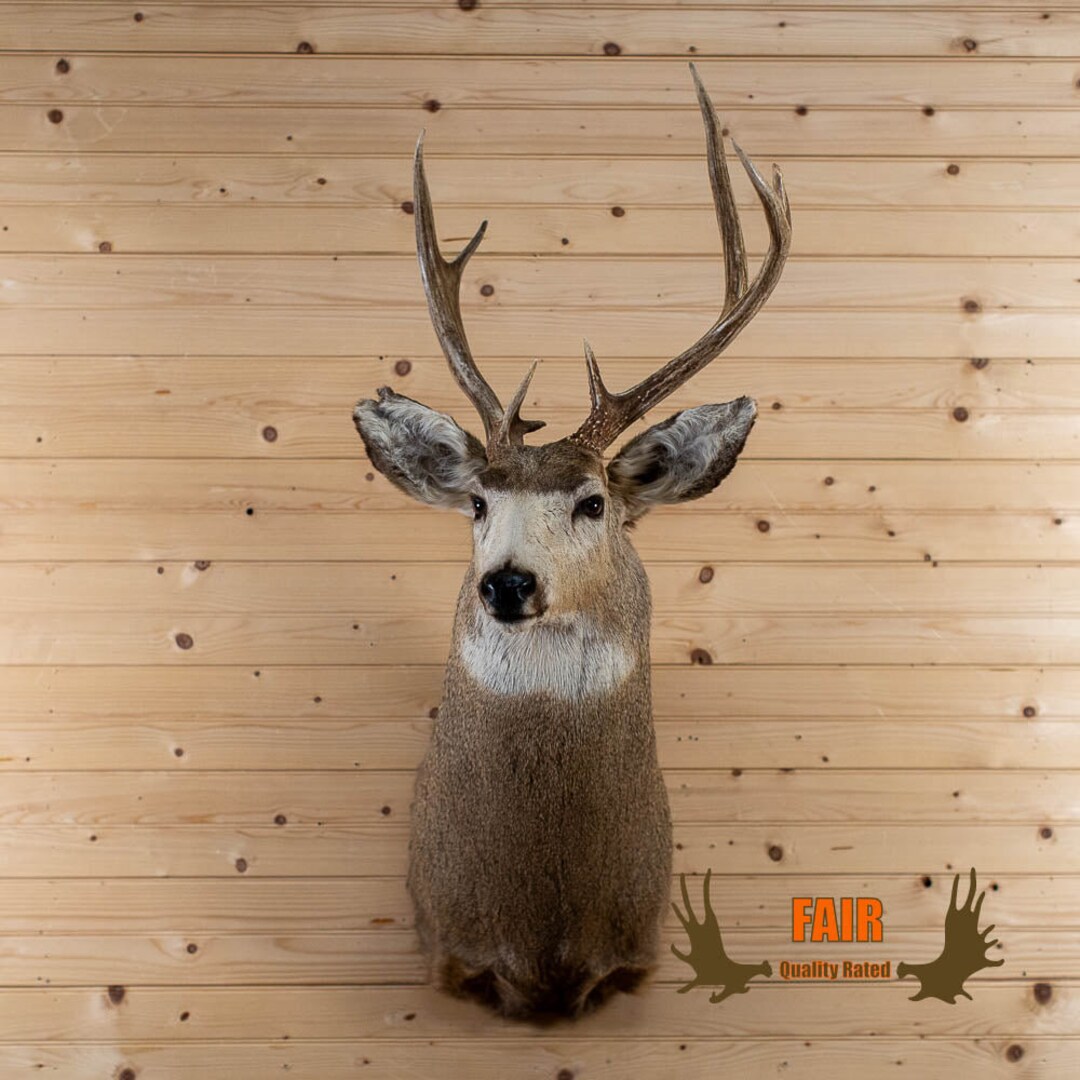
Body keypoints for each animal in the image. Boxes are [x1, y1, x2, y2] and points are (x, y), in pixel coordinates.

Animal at [353, 64, 792, 1022]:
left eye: (594, 502)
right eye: (478, 501)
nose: (506, 583)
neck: (543, 939)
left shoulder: (633, 957)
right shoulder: (449, 951)